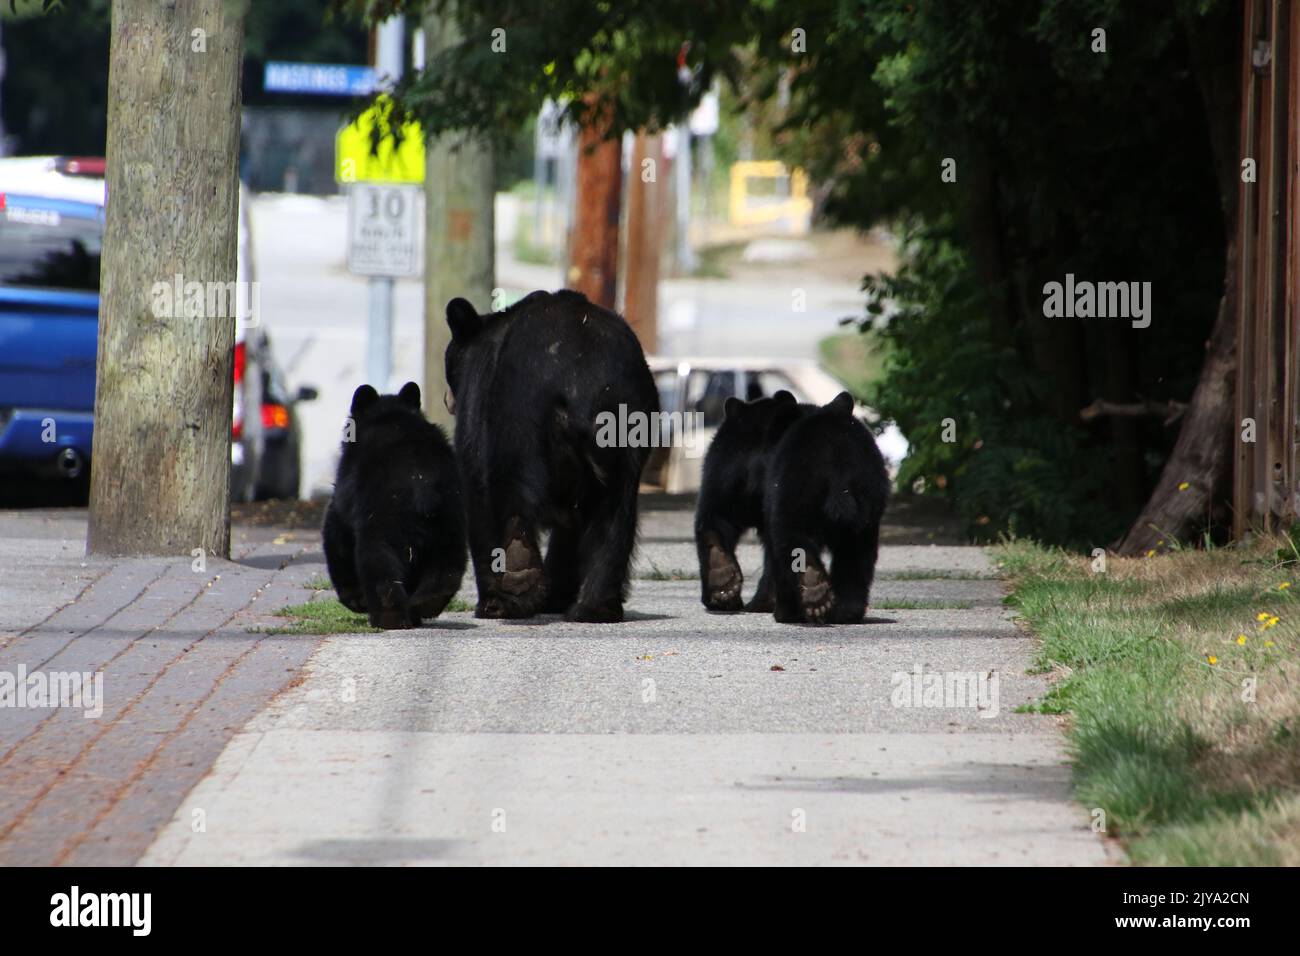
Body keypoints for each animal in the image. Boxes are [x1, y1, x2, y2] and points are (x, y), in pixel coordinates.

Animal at [322, 381, 467, 629]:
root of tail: (422, 481)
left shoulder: (347, 493)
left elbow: (336, 532)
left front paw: (355, 599)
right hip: (450, 516)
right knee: (448, 563)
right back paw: (425, 603)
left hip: (385, 519)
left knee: (379, 563)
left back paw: (388, 617)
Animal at [444, 289, 658, 623]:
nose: (447, 400)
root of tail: (582, 380)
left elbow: (475, 489)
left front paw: (492, 603)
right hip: (626, 428)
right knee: (613, 510)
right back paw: (594, 607)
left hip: (516, 417)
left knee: (503, 495)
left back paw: (517, 585)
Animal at [763, 391, 889, 625]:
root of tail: (838, 462)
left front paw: (784, 612)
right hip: (868, 494)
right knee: (857, 553)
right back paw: (846, 611)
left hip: (796, 489)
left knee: (791, 537)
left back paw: (814, 590)